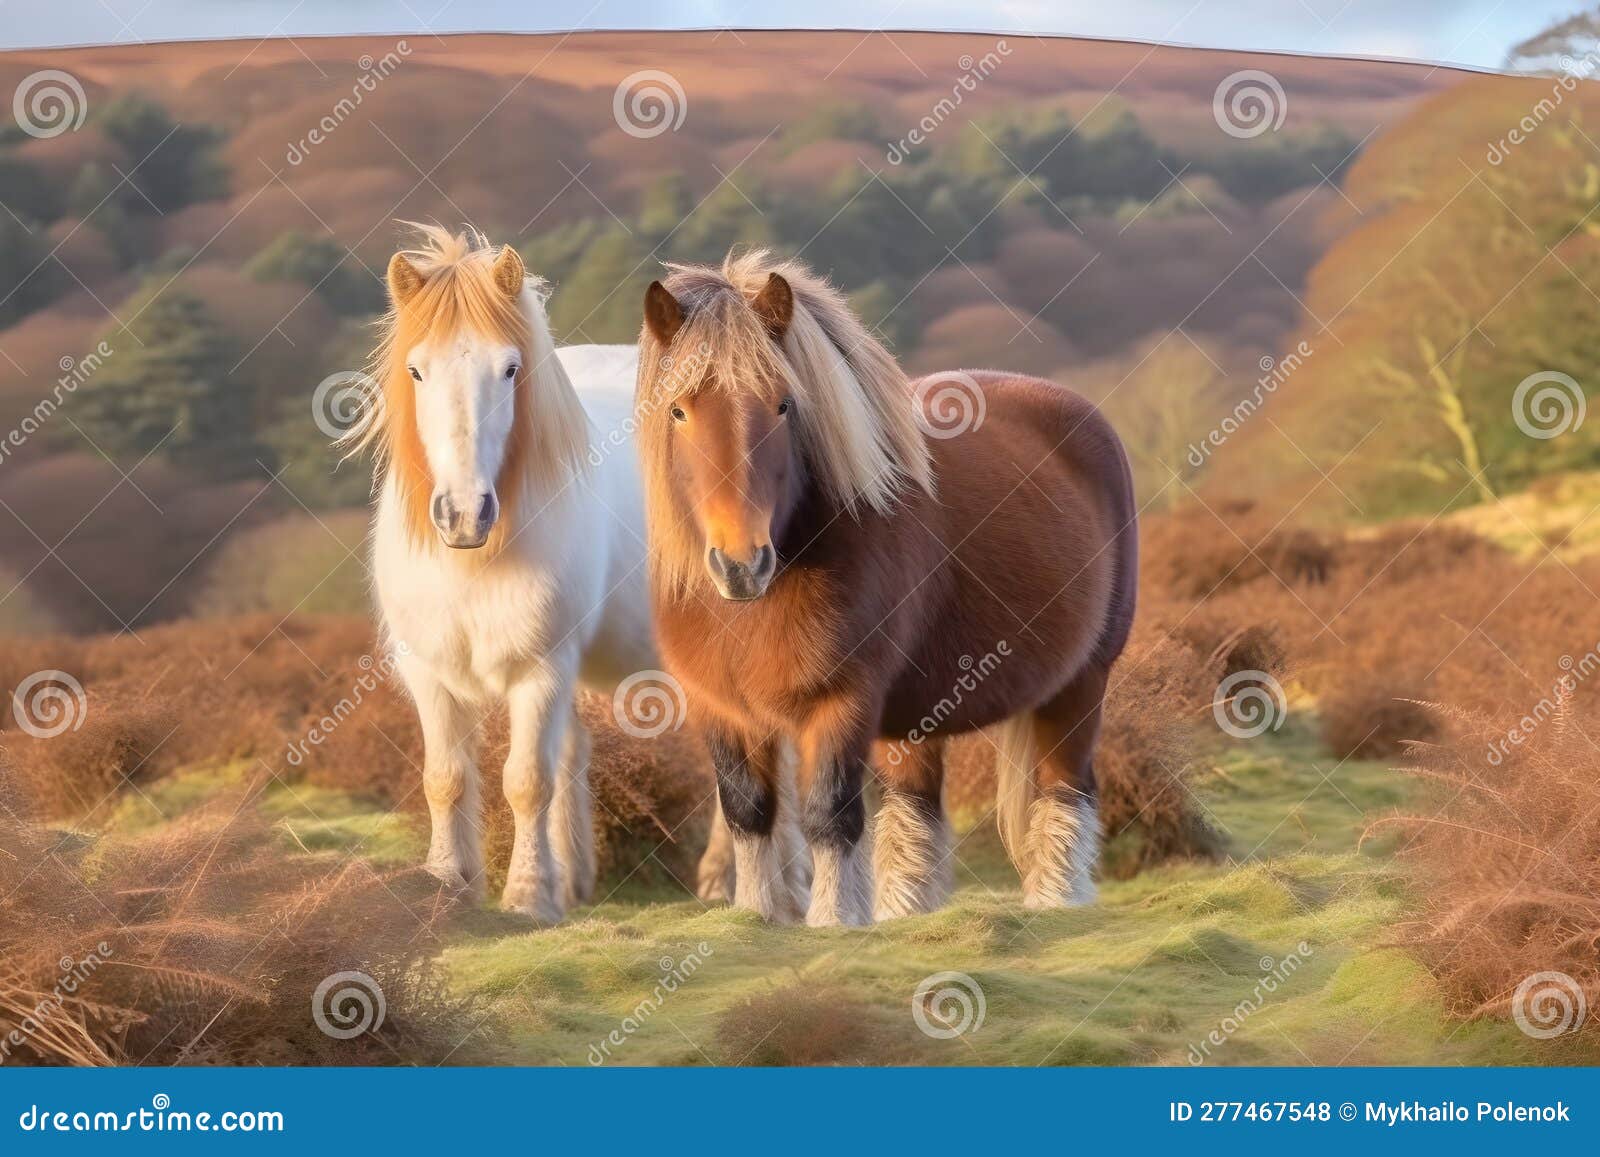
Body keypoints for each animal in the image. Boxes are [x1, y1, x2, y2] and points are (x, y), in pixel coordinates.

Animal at [352, 224, 713, 924]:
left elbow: (525, 782)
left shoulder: (540, 670)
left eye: (511, 369)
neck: (470, 561)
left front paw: (527, 896)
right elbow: (446, 779)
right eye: (416, 370)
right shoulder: (427, 672)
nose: (464, 513)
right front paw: (450, 885)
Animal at [634, 251, 1138, 926]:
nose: (742, 564)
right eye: (679, 410)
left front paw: (833, 922)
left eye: (784, 405)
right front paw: (758, 915)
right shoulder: (719, 708)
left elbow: (830, 815)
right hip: (921, 714)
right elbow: (748, 813)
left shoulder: (845, 701)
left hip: (1081, 683)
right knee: (914, 807)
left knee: (1064, 790)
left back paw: (1057, 901)